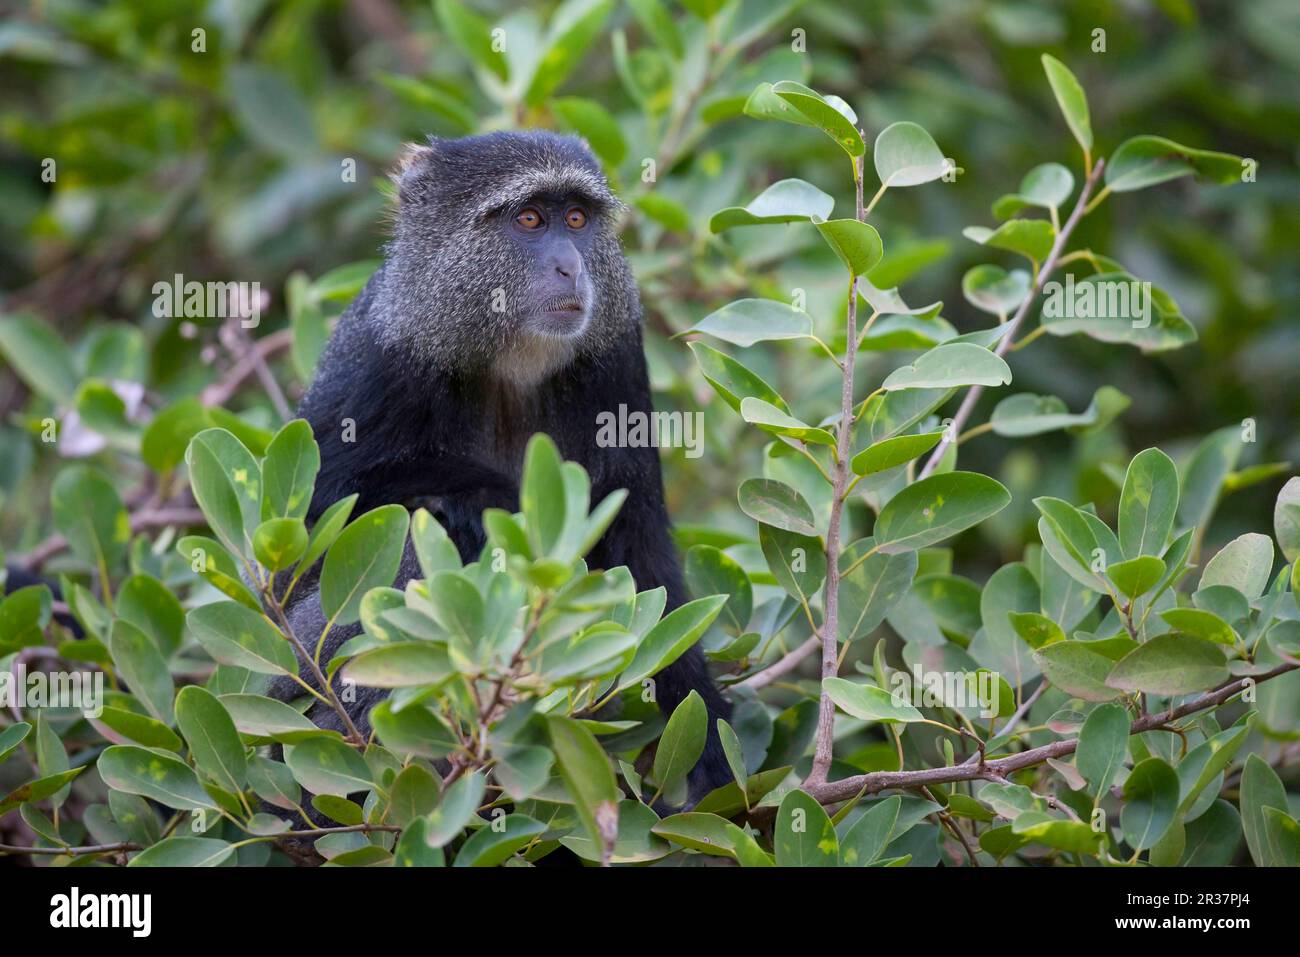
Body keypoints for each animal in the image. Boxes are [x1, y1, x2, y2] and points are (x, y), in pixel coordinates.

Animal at [269, 131, 733, 806]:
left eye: (576, 219)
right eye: (530, 220)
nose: (571, 266)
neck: (513, 354)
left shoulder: (620, 358)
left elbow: (642, 560)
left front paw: (713, 752)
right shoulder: (383, 352)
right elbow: (308, 523)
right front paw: (493, 498)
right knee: (409, 550)